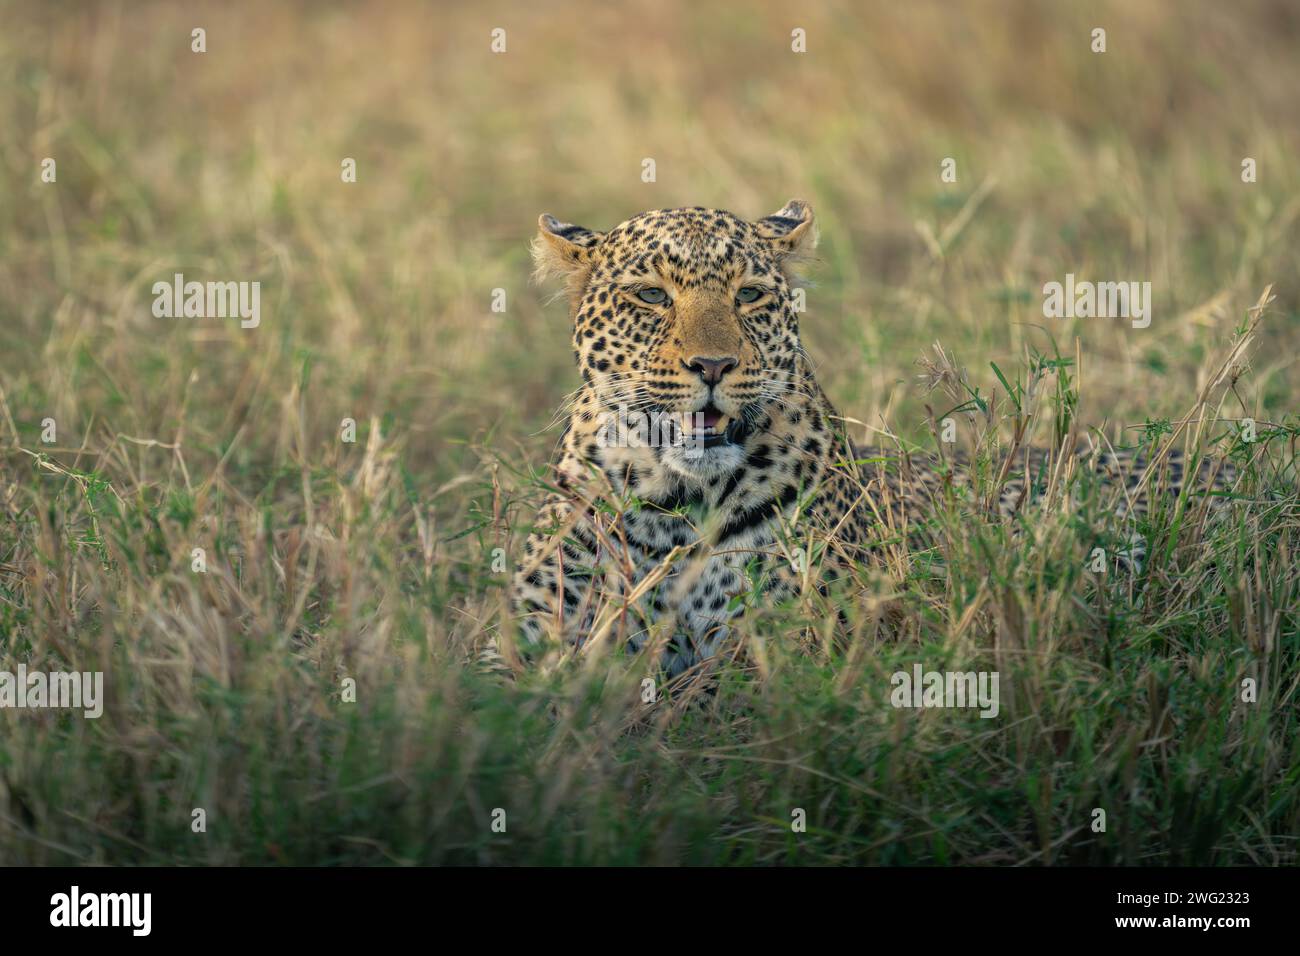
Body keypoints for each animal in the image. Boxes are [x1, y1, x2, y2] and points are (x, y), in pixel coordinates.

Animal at [508, 201, 1237, 678]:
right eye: (652, 296)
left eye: (749, 296)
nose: (713, 366)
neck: (672, 499)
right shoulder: (529, 640)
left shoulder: (783, 654)